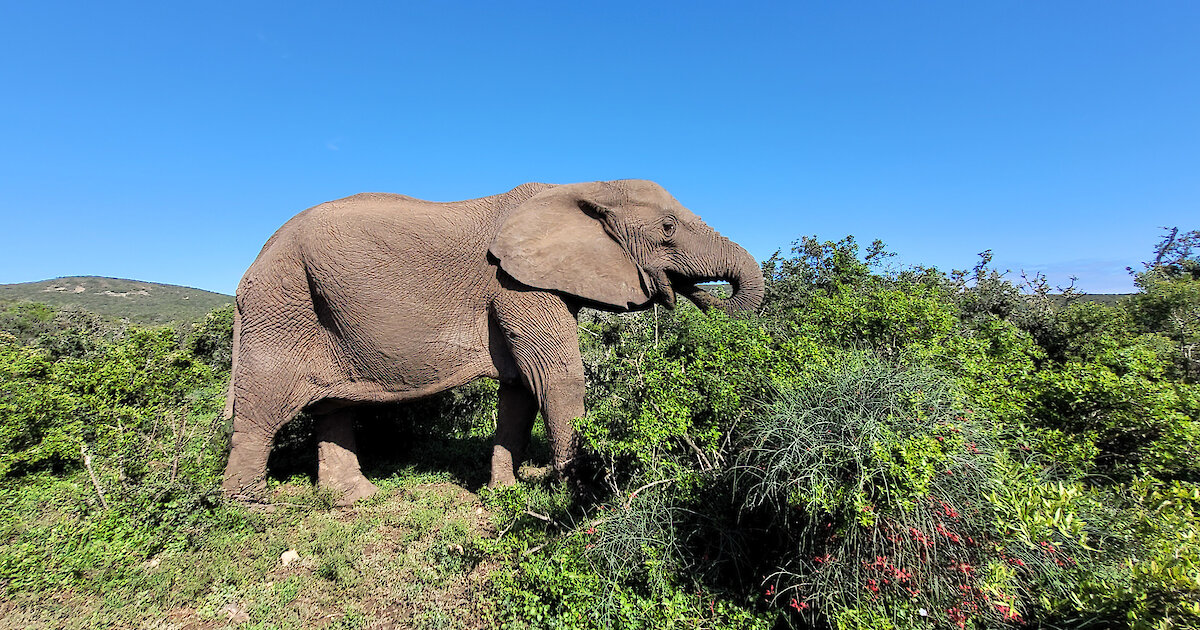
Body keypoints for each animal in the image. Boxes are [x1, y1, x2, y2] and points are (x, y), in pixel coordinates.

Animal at [221, 179, 764, 504]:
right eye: (667, 229)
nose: (688, 292)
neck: (581, 186)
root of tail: (254, 263)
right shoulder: (512, 283)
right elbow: (557, 377)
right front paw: (573, 492)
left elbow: (521, 390)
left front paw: (505, 491)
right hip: (284, 299)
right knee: (262, 405)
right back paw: (248, 511)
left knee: (333, 406)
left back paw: (356, 499)